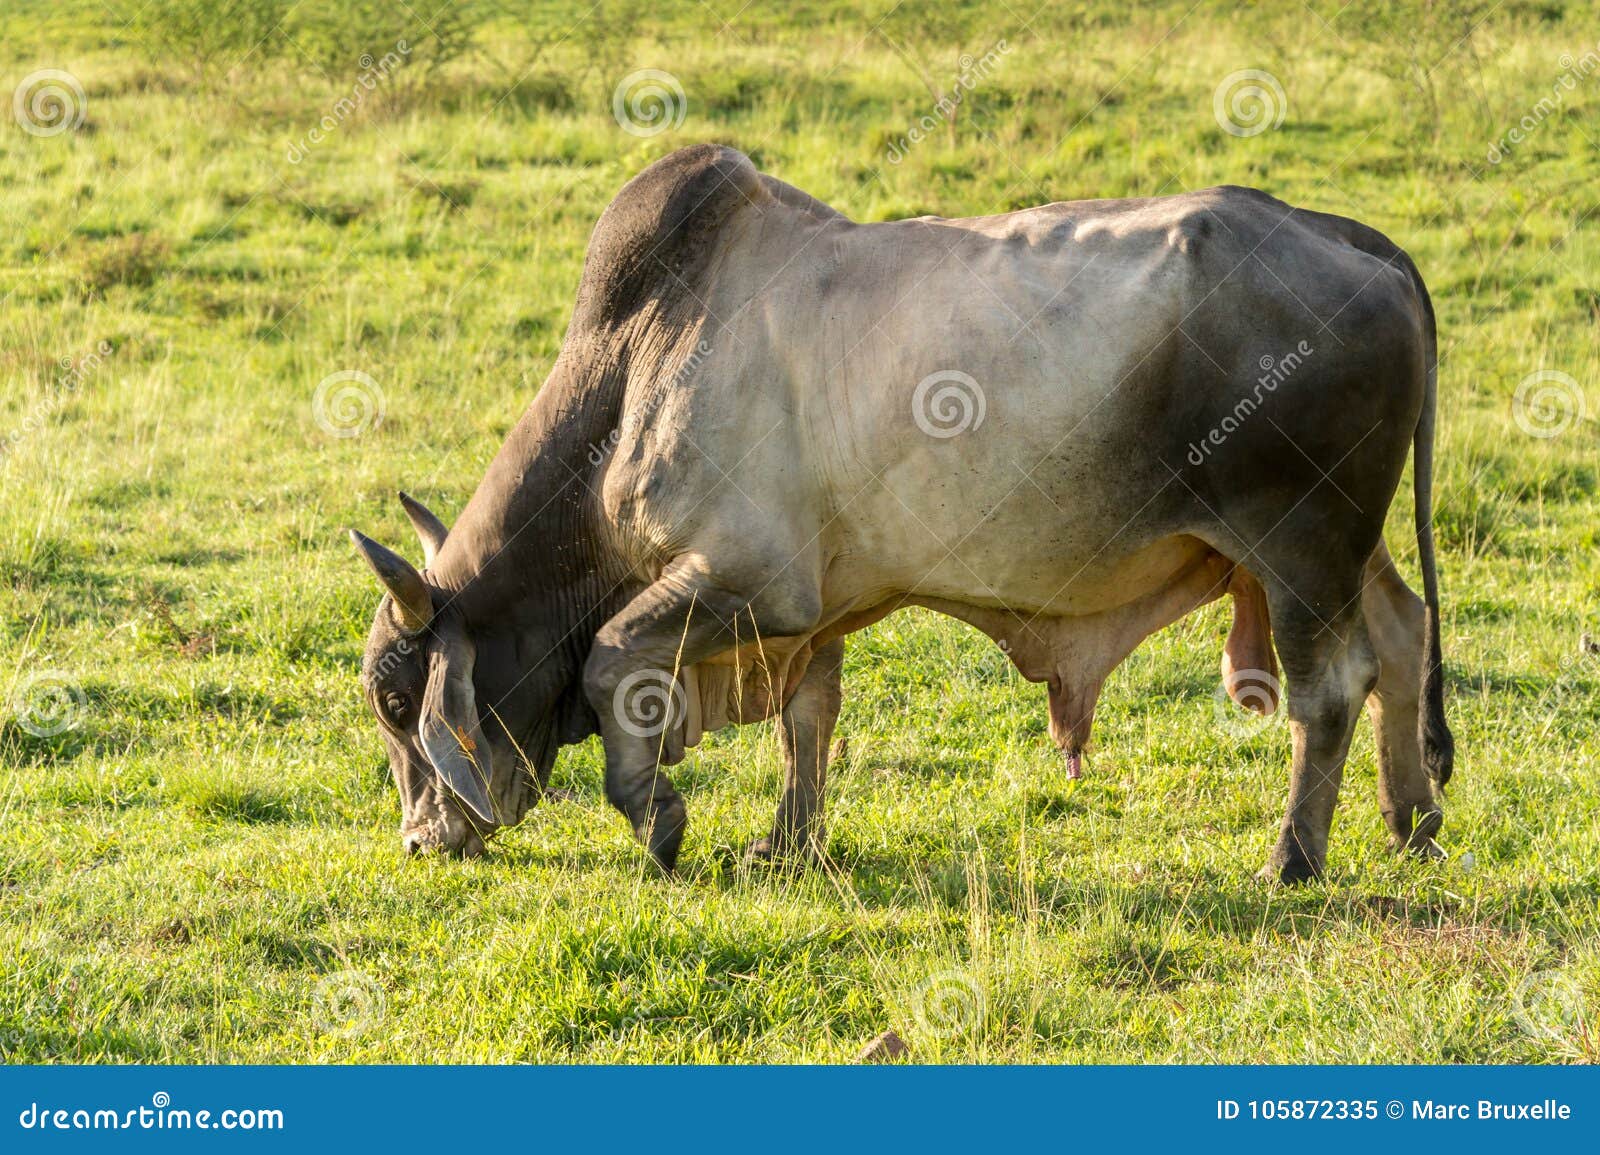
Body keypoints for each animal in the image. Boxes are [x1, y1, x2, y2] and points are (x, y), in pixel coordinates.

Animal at [351, 143, 1453, 884]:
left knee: (1330, 691)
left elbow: (615, 657)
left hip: (1300, 543)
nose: (418, 839)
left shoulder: (748, 580)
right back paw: (1411, 820)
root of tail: (1351, 237)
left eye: (400, 703)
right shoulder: (810, 613)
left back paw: (1293, 860)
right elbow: (807, 721)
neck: (636, 367)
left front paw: (657, 819)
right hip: (1339, 547)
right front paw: (786, 843)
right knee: (1405, 633)